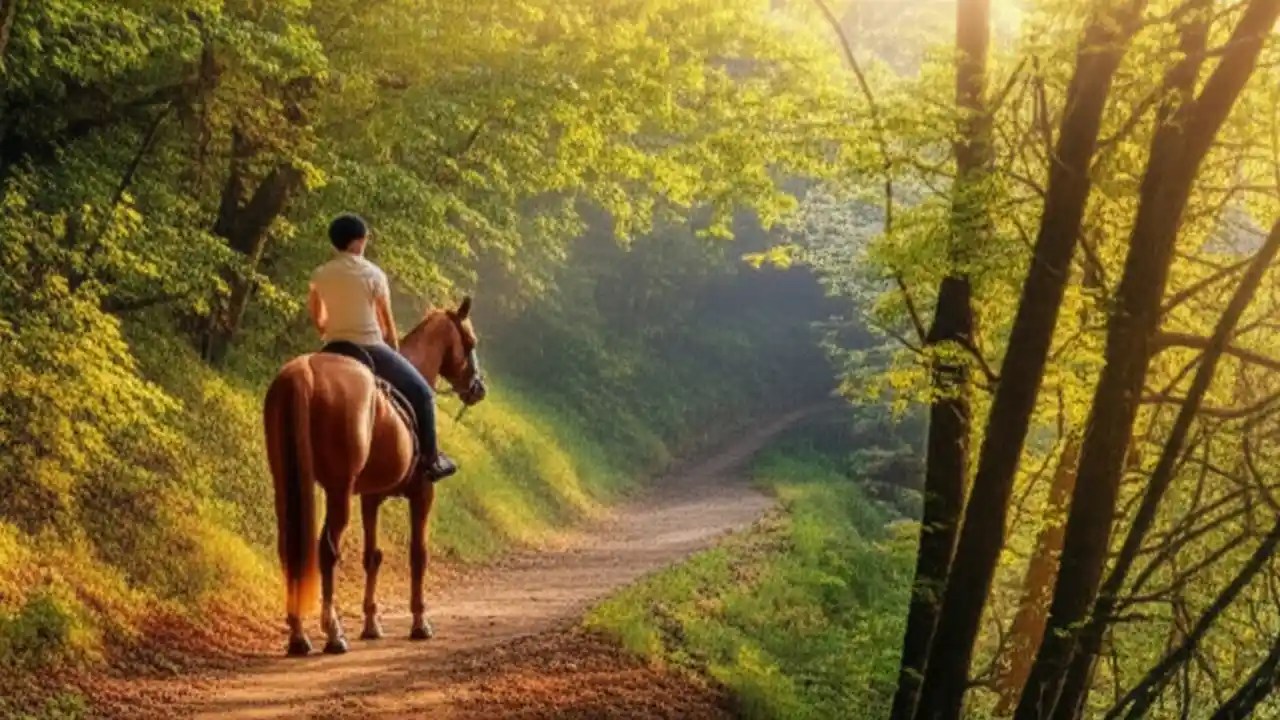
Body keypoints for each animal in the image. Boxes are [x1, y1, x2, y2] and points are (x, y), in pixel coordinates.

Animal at [263, 297, 486, 656]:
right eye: (470, 341)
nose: (478, 388)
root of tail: (305, 373)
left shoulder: (370, 498)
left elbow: (372, 556)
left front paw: (371, 623)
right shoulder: (422, 494)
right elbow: (418, 554)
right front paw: (420, 622)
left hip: (285, 482)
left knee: (289, 549)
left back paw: (299, 635)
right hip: (338, 490)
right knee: (327, 551)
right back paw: (333, 632)